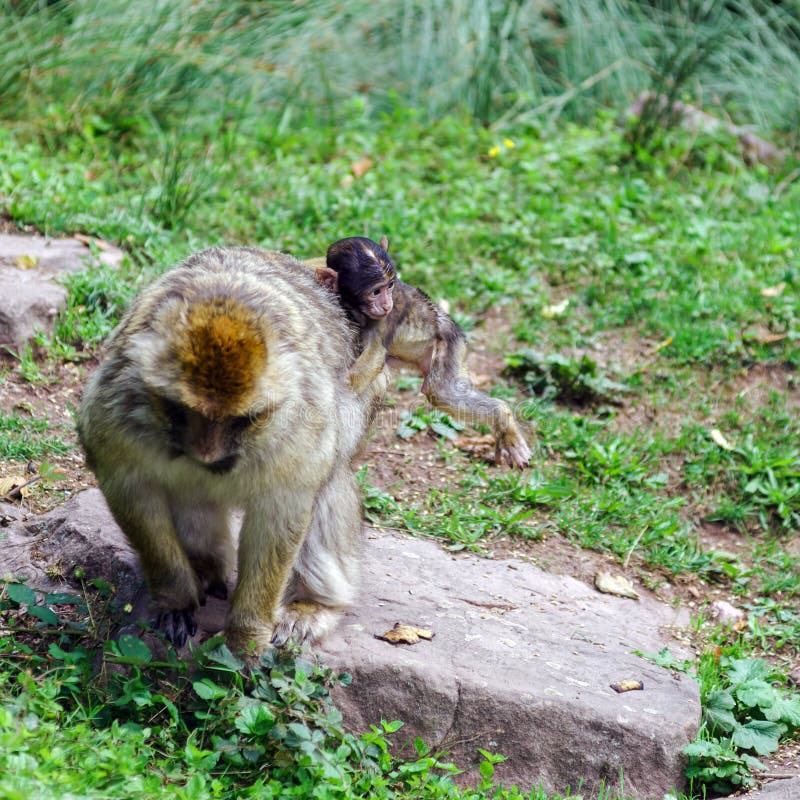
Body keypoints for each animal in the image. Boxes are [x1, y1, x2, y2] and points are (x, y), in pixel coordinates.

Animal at [77, 247, 369, 654]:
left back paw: (310, 604)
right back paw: (204, 567)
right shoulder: (117, 408)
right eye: (183, 411)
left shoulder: (298, 427)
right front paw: (177, 597)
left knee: (329, 482)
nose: (208, 457)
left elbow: (282, 510)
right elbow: (133, 490)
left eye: (244, 420)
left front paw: (245, 639)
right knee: (188, 492)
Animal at [307, 237, 531, 469]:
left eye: (389, 286)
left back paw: (502, 415)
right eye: (376, 292)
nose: (386, 303)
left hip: (450, 344)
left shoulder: (386, 318)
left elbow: (375, 357)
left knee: (441, 392)